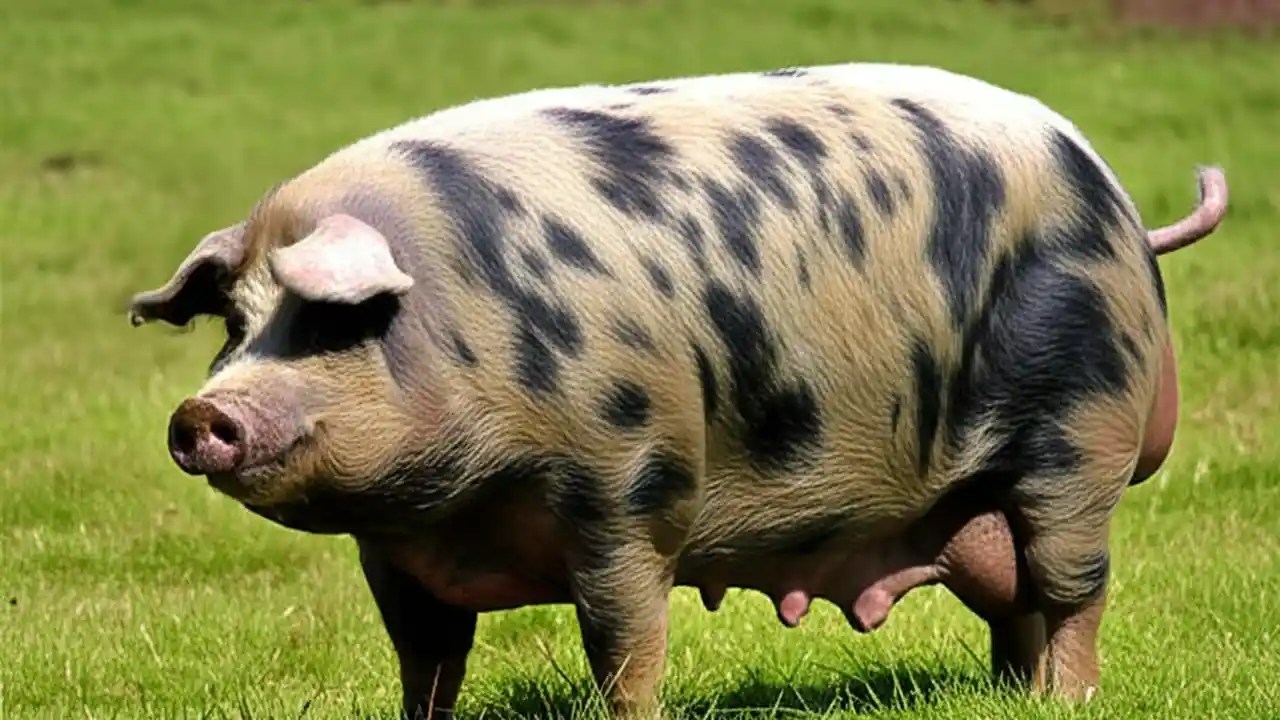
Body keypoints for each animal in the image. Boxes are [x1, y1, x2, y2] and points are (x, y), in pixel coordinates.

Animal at [127, 62, 1228, 719]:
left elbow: (622, 642)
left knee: (1071, 589)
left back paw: (1067, 702)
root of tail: (1123, 210)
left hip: (1081, 437)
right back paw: (1008, 696)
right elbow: (426, 657)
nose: (202, 411)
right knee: (1013, 602)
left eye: (332, 320)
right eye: (233, 327)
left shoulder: (630, 482)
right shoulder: (393, 550)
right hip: (985, 489)